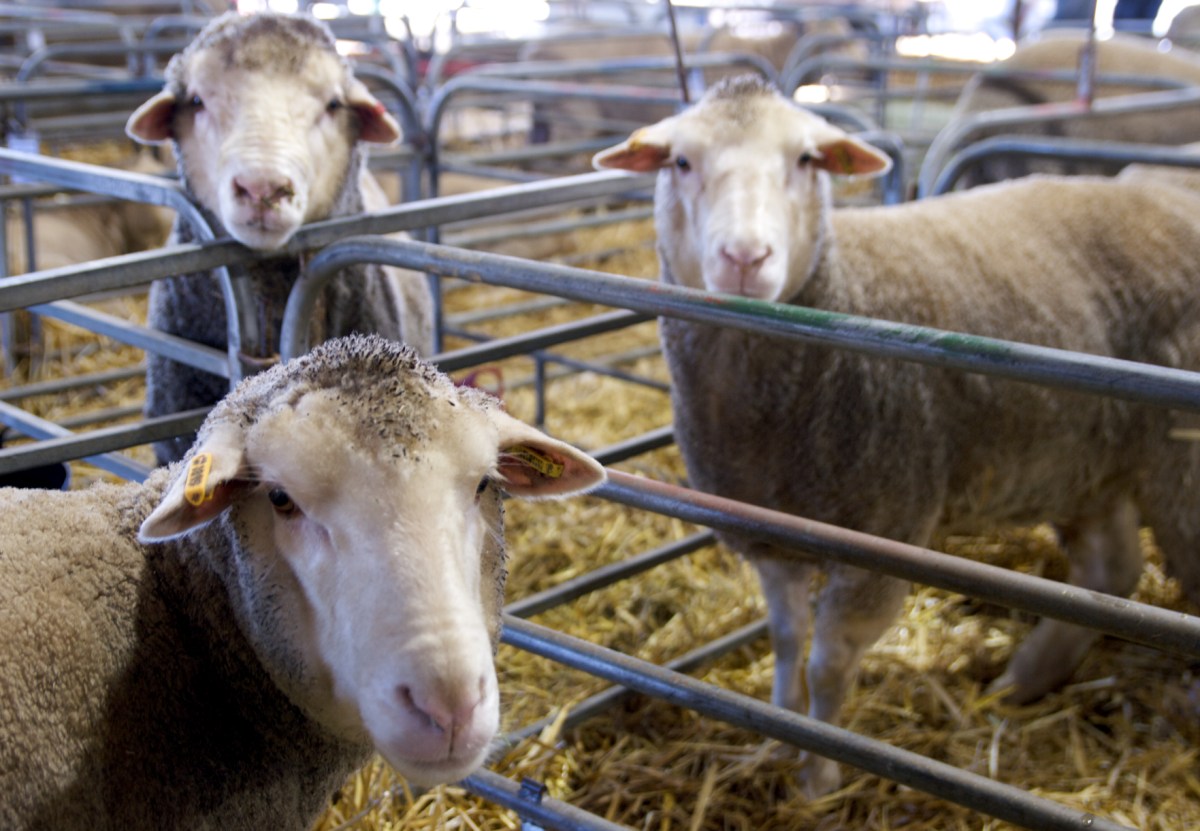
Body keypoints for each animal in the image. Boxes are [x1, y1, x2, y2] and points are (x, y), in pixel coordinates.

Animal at [594, 74, 1200, 797]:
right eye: (681, 162)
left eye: (806, 160)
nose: (746, 257)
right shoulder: (768, 531)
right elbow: (786, 641)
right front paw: (777, 733)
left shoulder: (882, 534)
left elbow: (827, 663)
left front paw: (818, 775)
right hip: (1085, 460)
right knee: (1112, 570)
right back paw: (1020, 680)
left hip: (1178, 462)